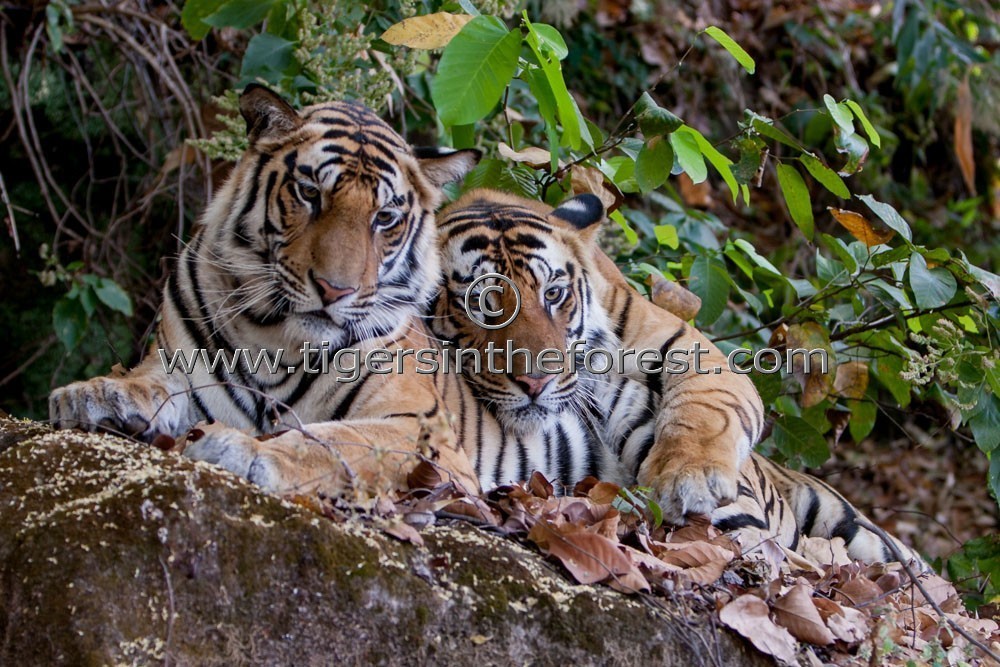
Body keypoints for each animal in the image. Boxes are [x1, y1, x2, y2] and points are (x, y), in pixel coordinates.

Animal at [49, 84, 484, 495]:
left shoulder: (424, 429)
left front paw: (246, 451)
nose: (333, 290)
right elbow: (146, 379)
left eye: (385, 217)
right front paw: (97, 394)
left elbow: (338, 440)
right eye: (309, 193)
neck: (276, 342)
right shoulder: (176, 363)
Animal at [428, 188, 926, 569]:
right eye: (481, 303)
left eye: (553, 294)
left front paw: (690, 476)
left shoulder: (691, 348)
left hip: (850, 522)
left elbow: (706, 408)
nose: (536, 383)